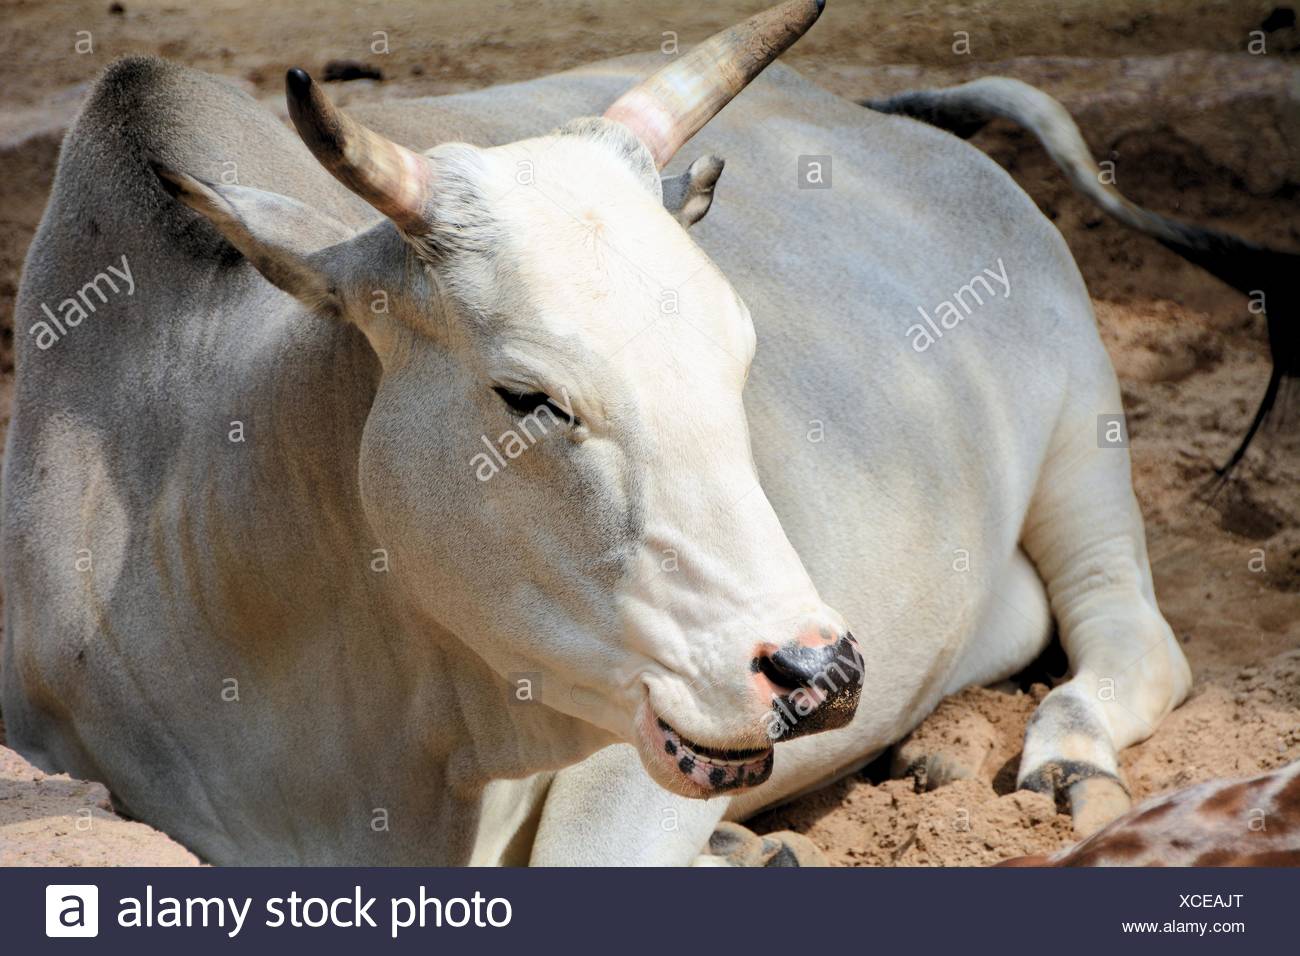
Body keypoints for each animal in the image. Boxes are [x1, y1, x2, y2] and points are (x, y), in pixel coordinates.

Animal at [0, 0, 1191, 865]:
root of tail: (888, 119)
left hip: (1083, 424)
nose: (819, 670)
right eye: (528, 396)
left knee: (1138, 635)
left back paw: (1071, 757)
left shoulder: (637, 736)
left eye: (739, 353)